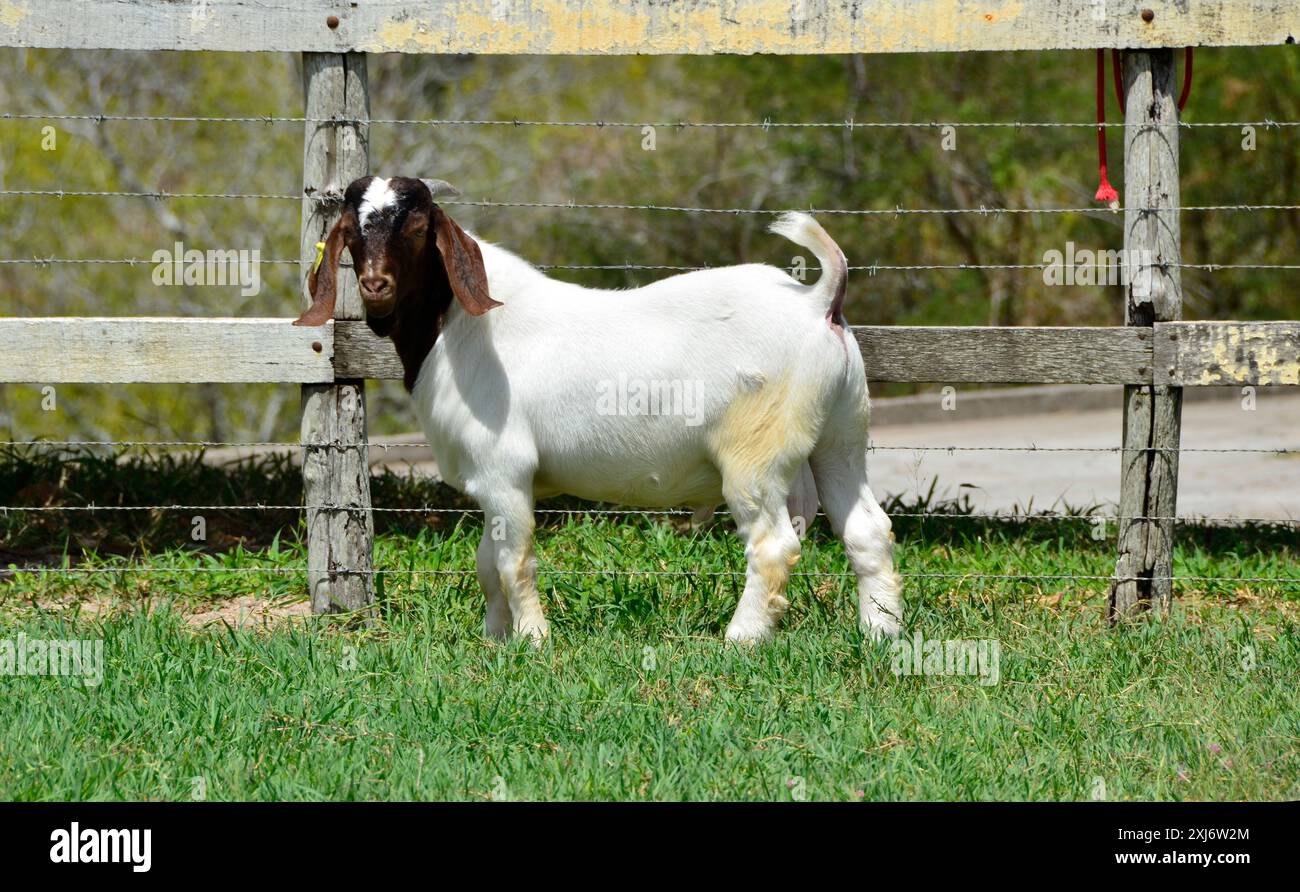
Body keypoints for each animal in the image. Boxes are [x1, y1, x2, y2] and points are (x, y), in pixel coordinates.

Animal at [296, 176, 902, 644]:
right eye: (353, 230)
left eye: (419, 227)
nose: (376, 284)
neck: (461, 327)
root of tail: (819, 302)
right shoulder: (492, 483)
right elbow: (487, 564)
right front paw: (495, 639)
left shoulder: (505, 469)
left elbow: (513, 562)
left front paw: (534, 641)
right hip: (841, 435)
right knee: (867, 530)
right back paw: (881, 633)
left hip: (755, 455)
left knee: (773, 544)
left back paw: (740, 640)